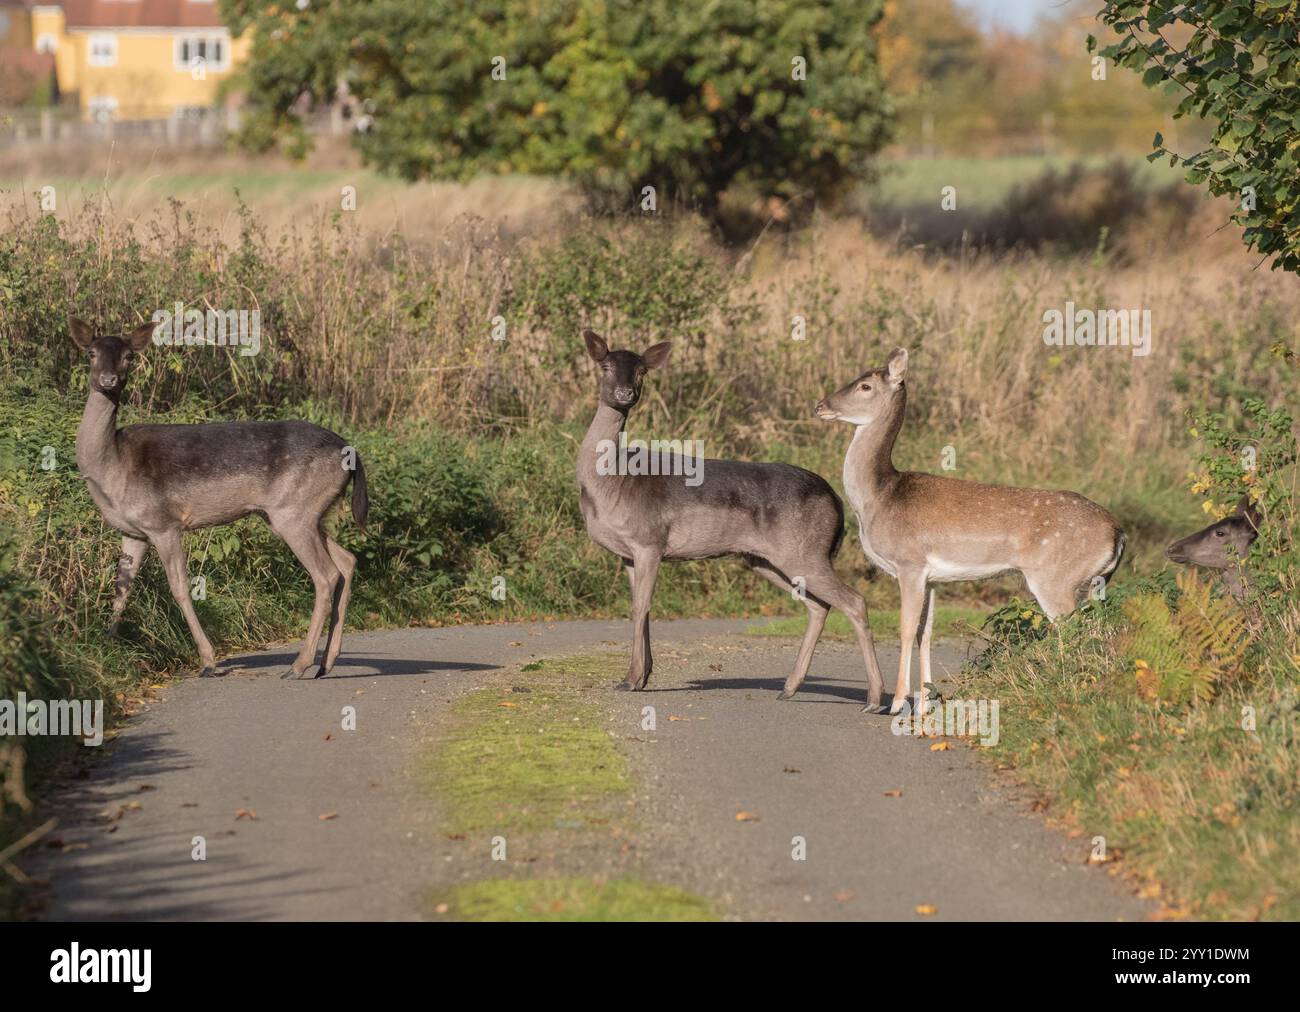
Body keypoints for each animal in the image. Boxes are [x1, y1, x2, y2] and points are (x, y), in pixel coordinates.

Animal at [71, 316, 368, 679]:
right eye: (91, 352)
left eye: (129, 356)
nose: (108, 380)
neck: (113, 467)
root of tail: (351, 454)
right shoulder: (133, 530)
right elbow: (121, 587)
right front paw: (106, 646)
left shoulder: (164, 522)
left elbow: (180, 587)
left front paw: (209, 661)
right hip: (302, 514)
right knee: (347, 560)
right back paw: (326, 662)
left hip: (294, 511)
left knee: (326, 575)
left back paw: (298, 666)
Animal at [577, 330, 887, 708]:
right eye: (605, 366)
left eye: (641, 371)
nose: (625, 394)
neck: (613, 483)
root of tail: (837, 503)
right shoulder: (628, 554)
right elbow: (640, 607)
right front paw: (643, 675)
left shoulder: (650, 540)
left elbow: (641, 606)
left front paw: (631, 680)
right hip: (766, 560)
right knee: (818, 605)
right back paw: (789, 687)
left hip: (805, 550)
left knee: (854, 601)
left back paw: (875, 698)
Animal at [816, 347, 1125, 715]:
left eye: (864, 386)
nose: (820, 405)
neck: (880, 497)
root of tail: (1118, 533)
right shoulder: (932, 577)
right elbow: (925, 632)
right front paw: (925, 703)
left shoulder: (910, 563)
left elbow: (905, 629)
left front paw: (898, 703)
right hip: (1093, 583)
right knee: (1098, 628)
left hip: (1056, 577)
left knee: (1074, 629)